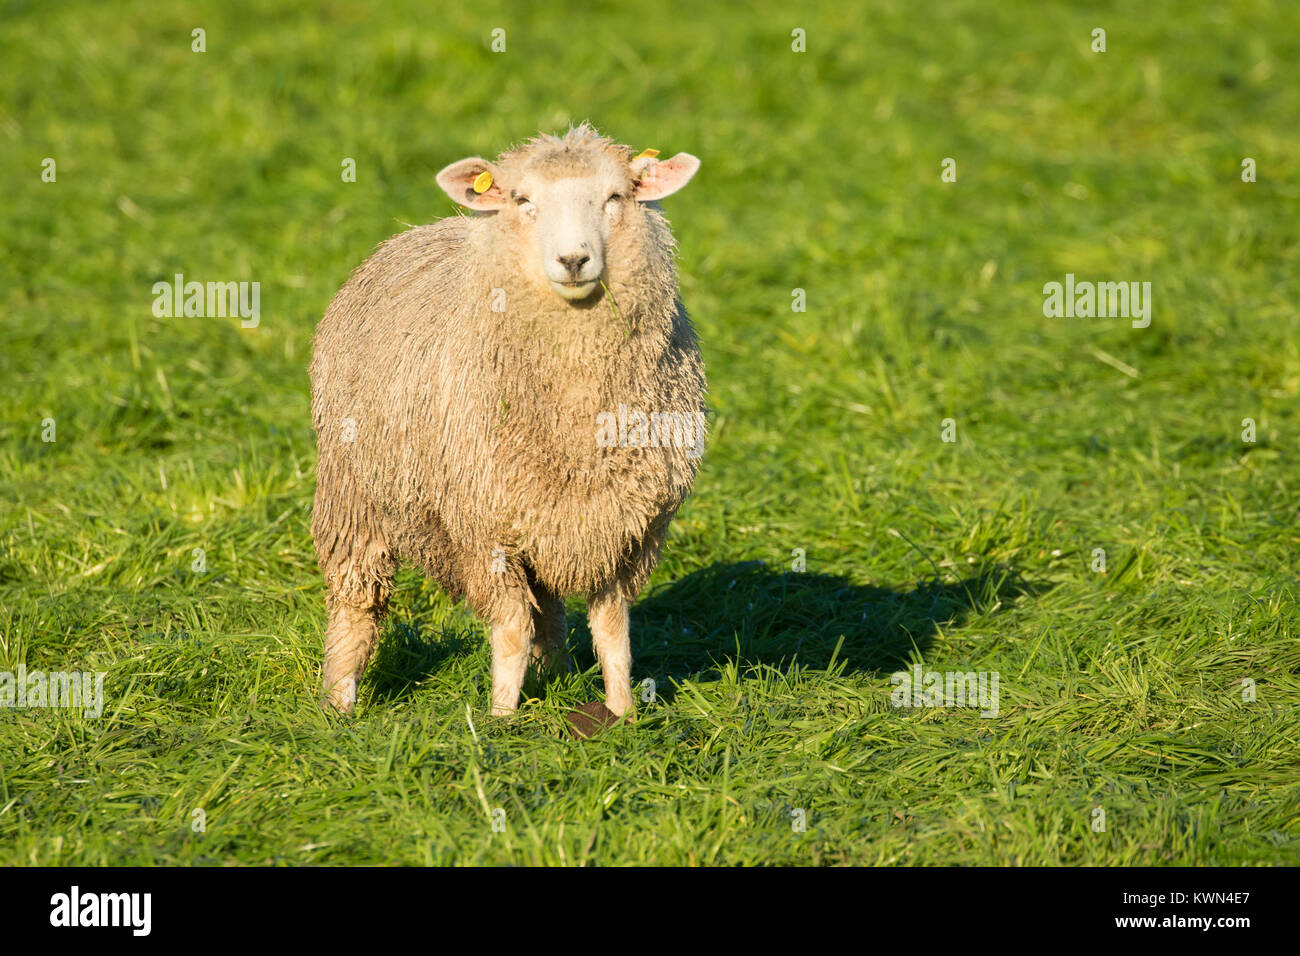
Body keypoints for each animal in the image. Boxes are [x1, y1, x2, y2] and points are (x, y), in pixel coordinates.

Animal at [309, 124, 705, 725]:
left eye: (615, 197)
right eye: (522, 200)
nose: (573, 259)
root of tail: (413, 233)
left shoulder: (627, 523)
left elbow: (613, 627)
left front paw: (622, 716)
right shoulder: (482, 526)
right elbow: (512, 628)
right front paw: (500, 721)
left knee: (549, 605)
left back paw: (555, 671)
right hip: (354, 493)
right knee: (358, 600)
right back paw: (339, 704)